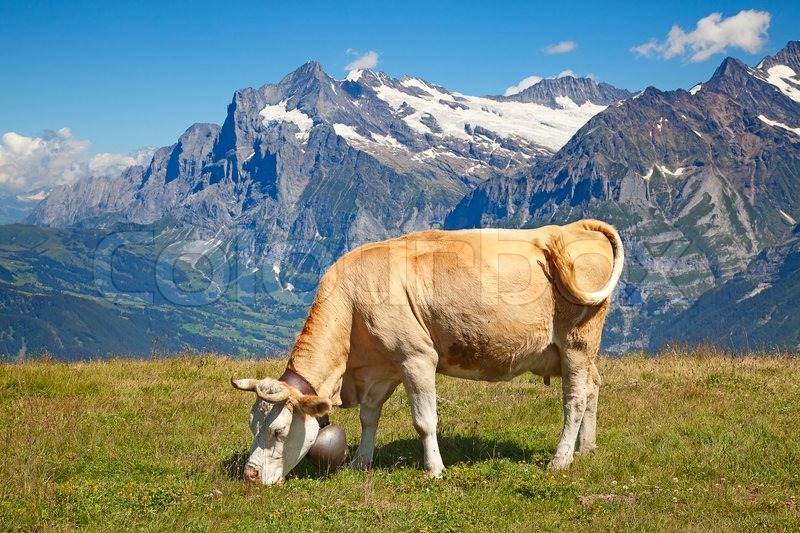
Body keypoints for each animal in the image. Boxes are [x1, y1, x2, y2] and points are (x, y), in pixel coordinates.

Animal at [231, 219, 624, 486]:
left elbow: (424, 421)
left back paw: (560, 459)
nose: (250, 475)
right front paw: (361, 461)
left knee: (575, 399)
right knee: (592, 388)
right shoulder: (381, 368)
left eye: (279, 431)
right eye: (252, 424)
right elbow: (369, 417)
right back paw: (586, 448)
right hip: (582, 352)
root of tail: (573, 227)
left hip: (576, 342)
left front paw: (434, 470)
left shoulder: (416, 358)